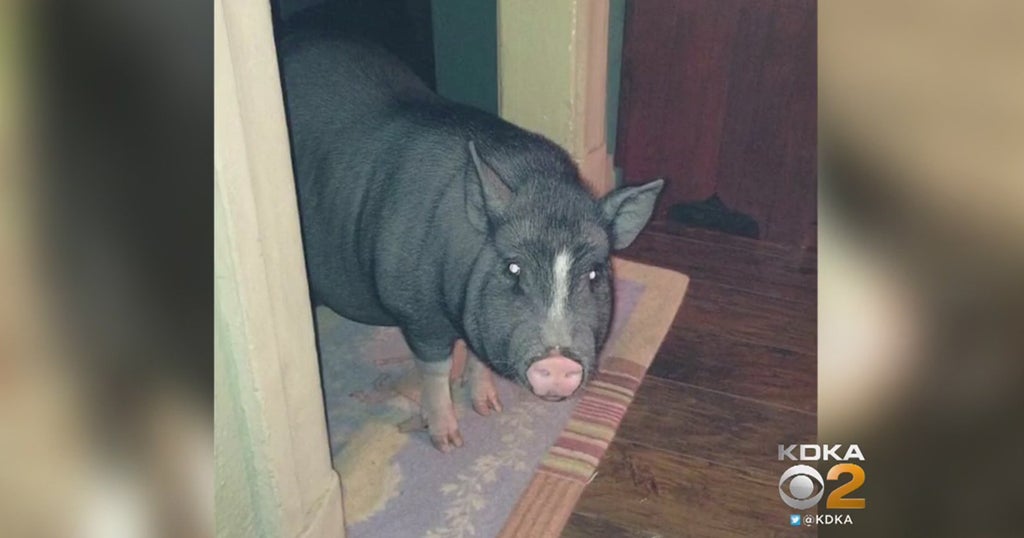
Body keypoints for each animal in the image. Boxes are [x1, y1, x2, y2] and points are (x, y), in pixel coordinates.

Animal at [278, 32, 663, 452]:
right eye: (512, 267)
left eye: (594, 274)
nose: (558, 361)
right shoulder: (417, 311)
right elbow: (435, 368)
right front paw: (449, 443)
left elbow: (479, 358)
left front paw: (489, 409)